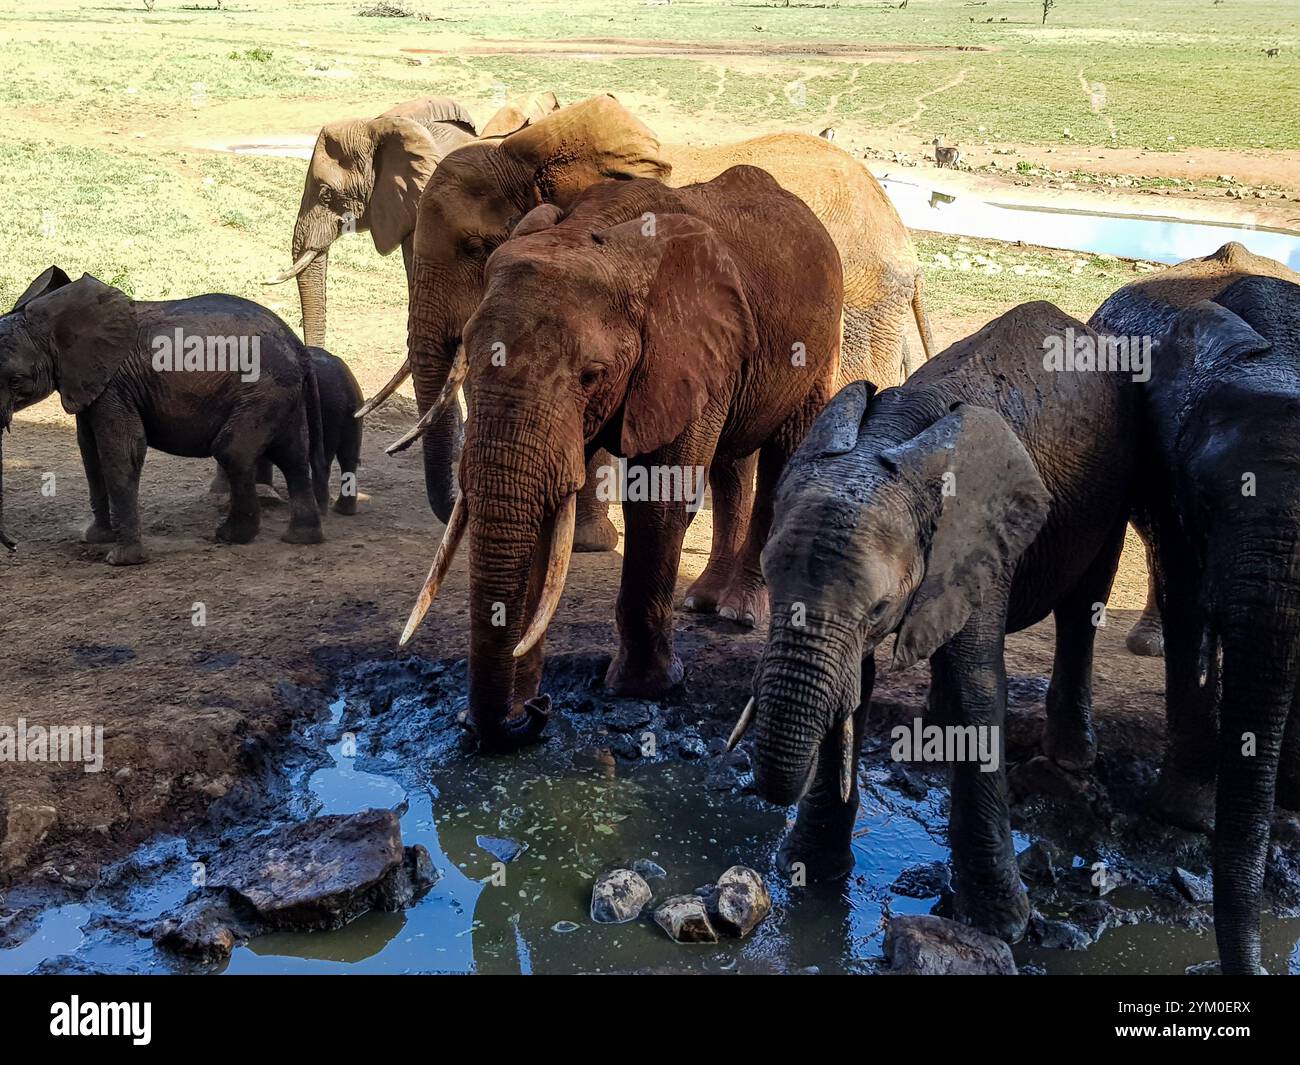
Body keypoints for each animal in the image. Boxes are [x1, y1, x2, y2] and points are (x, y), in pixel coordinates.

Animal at [0, 268, 328, 563]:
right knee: (293, 456)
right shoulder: (89, 384)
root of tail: (298, 348)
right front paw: (95, 539)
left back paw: (230, 536)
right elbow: (90, 453)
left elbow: (122, 451)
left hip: (264, 391)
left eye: (15, 380)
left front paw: (121, 559)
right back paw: (300, 539)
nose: (15, 547)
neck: (51, 317)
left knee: (233, 451)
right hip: (282, 395)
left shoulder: (114, 384)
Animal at [399, 168, 845, 753]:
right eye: (468, 359)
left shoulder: (685, 350)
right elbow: (551, 507)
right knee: (732, 464)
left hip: (816, 345)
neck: (595, 237)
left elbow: (659, 498)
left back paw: (738, 612)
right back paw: (705, 602)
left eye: (592, 375)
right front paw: (523, 702)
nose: (536, 712)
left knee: (783, 455)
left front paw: (645, 688)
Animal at [741, 301, 1138, 942]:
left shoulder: (981, 542)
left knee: (1084, 604)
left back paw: (1071, 757)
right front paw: (809, 874)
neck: (893, 432)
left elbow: (981, 689)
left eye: (880, 607)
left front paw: (1003, 927)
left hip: (1116, 483)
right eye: (770, 585)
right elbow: (856, 685)